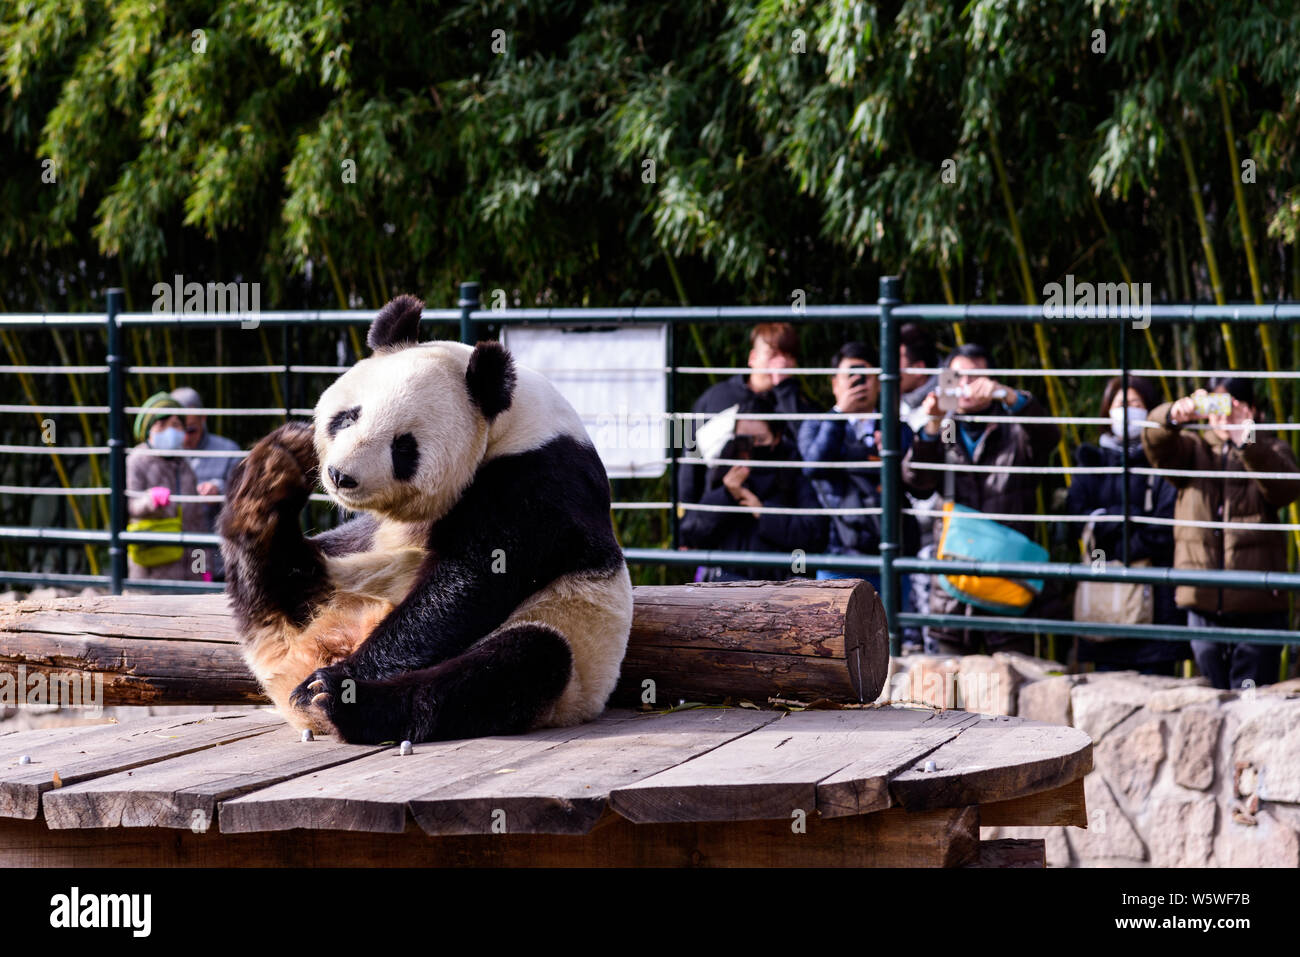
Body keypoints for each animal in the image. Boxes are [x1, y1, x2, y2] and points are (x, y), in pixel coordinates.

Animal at [219, 294, 633, 744]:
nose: (341, 476)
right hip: (339, 584)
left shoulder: (539, 480)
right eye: (349, 416)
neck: (511, 422)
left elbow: (471, 580)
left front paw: (339, 680)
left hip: (569, 639)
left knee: (515, 664)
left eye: (404, 447)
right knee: (290, 576)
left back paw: (339, 698)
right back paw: (267, 485)